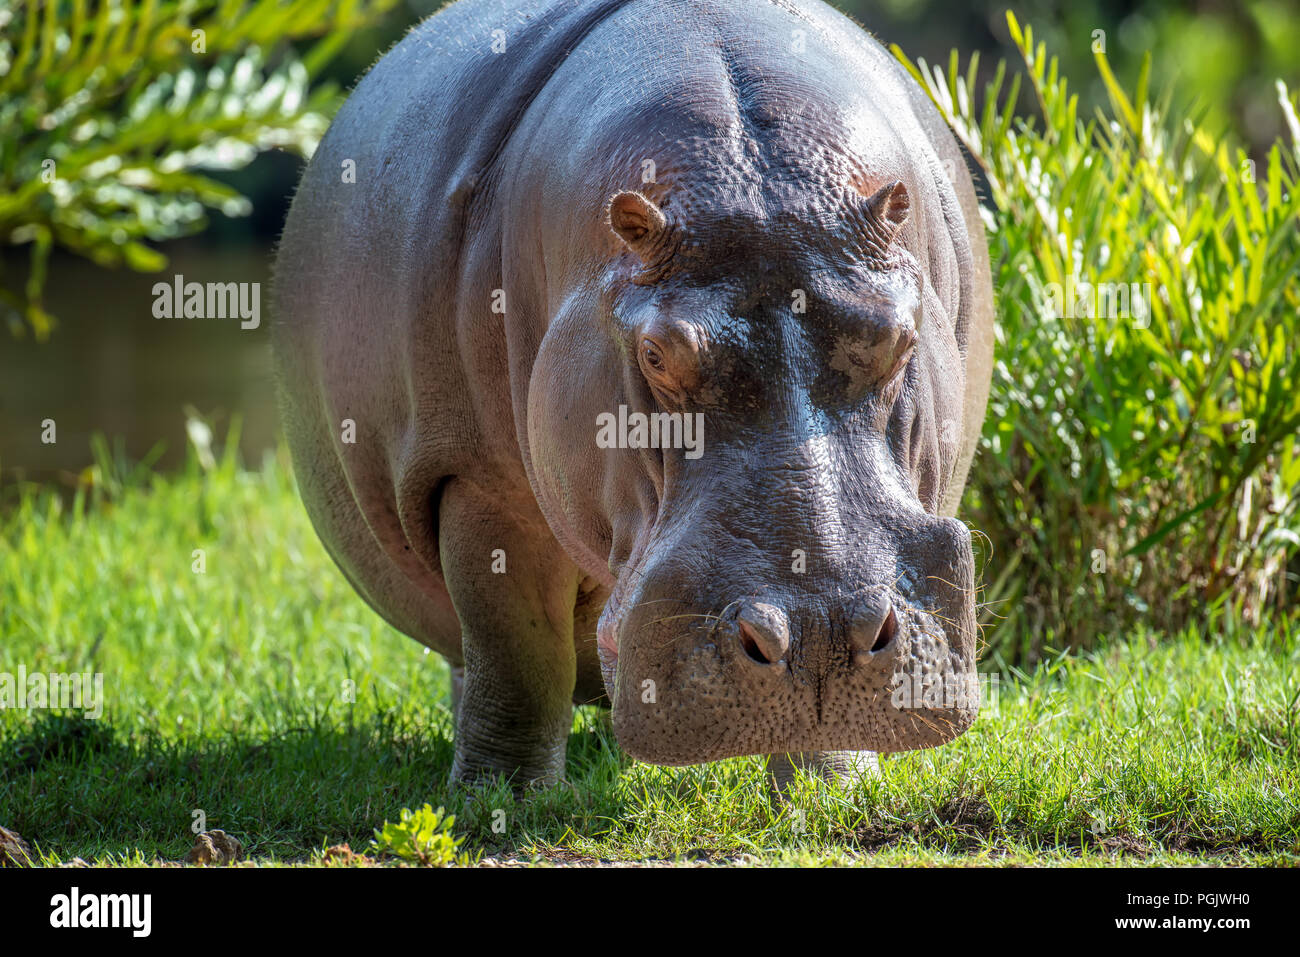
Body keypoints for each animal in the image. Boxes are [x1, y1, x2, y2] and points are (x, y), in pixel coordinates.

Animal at [272, 0, 994, 789]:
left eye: (899, 337)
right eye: (654, 354)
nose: (818, 633)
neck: (754, 178)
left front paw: (831, 788)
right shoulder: (477, 482)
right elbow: (517, 655)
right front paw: (502, 796)